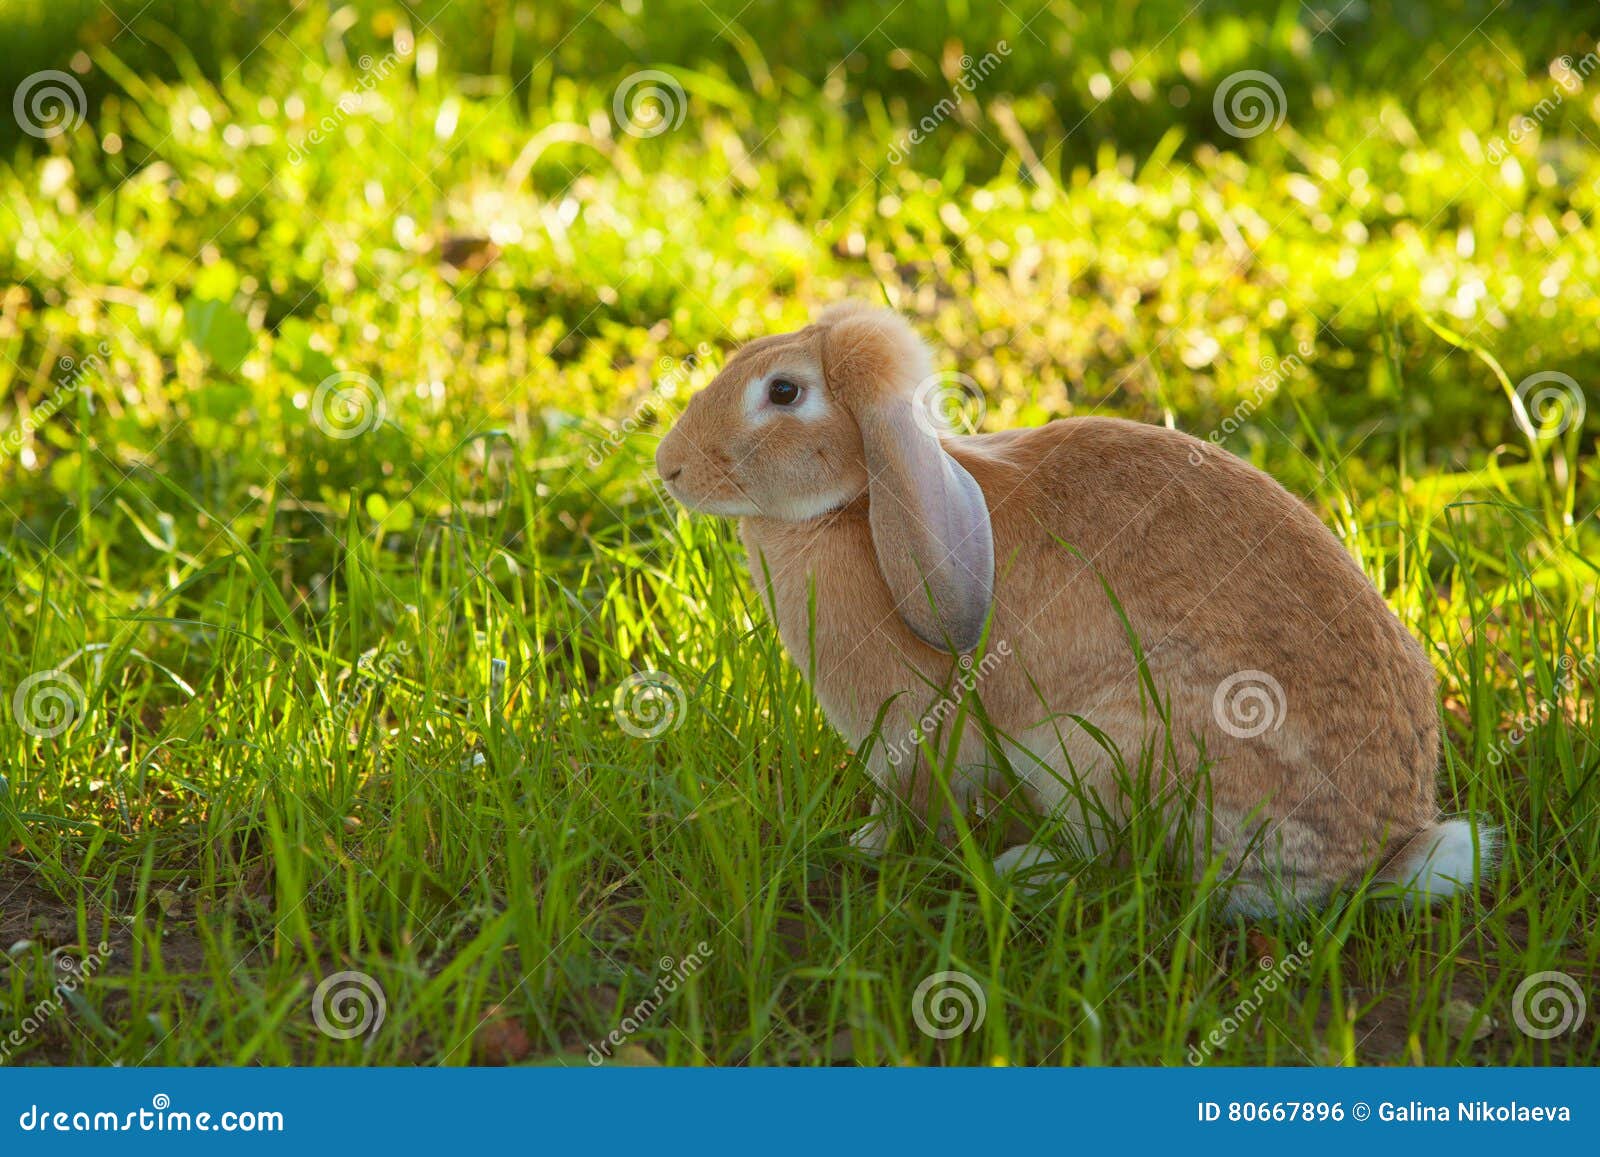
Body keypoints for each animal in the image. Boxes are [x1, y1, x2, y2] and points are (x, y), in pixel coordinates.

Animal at [654, 301, 1496, 914]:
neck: (867, 495)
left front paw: (869, 843)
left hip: (1092, 750)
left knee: (1113, 853)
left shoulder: (913, 730)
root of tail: (1381, 854)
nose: (668, 468)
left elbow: (912, 799)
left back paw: (1022, 868)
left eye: (784, 391)